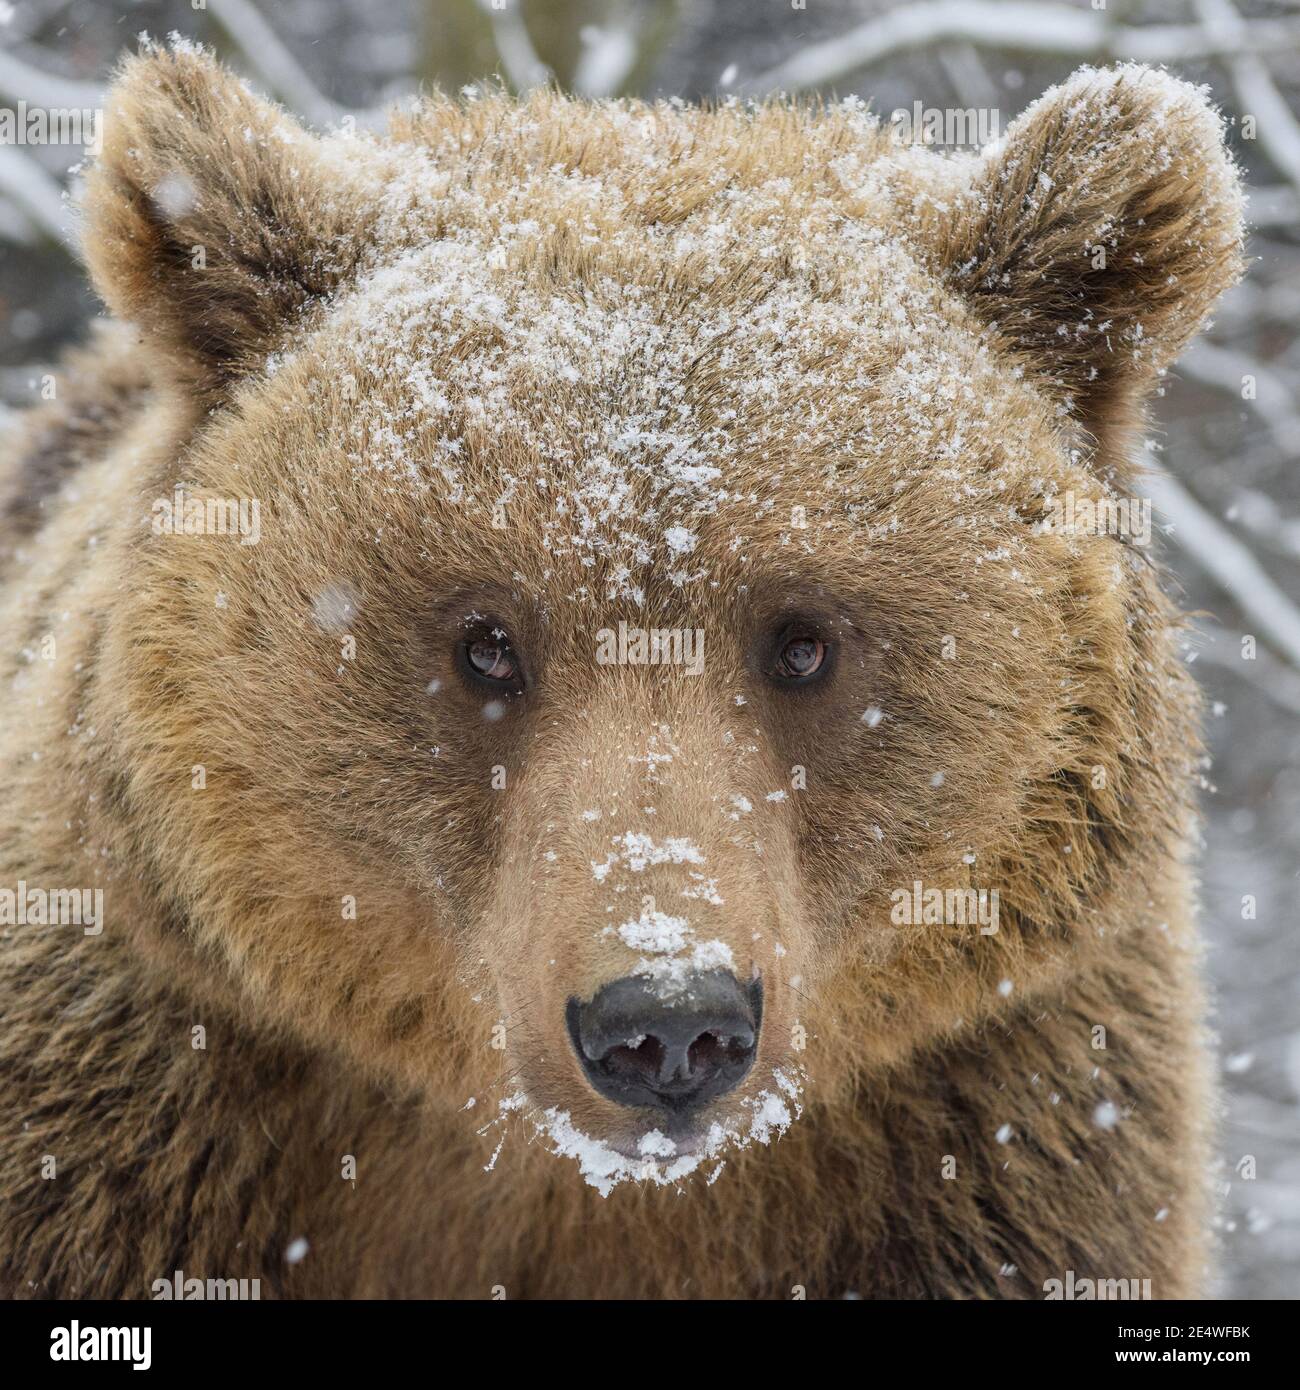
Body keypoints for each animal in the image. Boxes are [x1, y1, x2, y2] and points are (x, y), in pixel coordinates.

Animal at [0, 43, 1243, 1299]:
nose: (667, 1023)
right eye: (486, 639)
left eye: (804, 640)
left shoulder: (1003, 1143)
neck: (554, 1178)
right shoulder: (139, 1097)